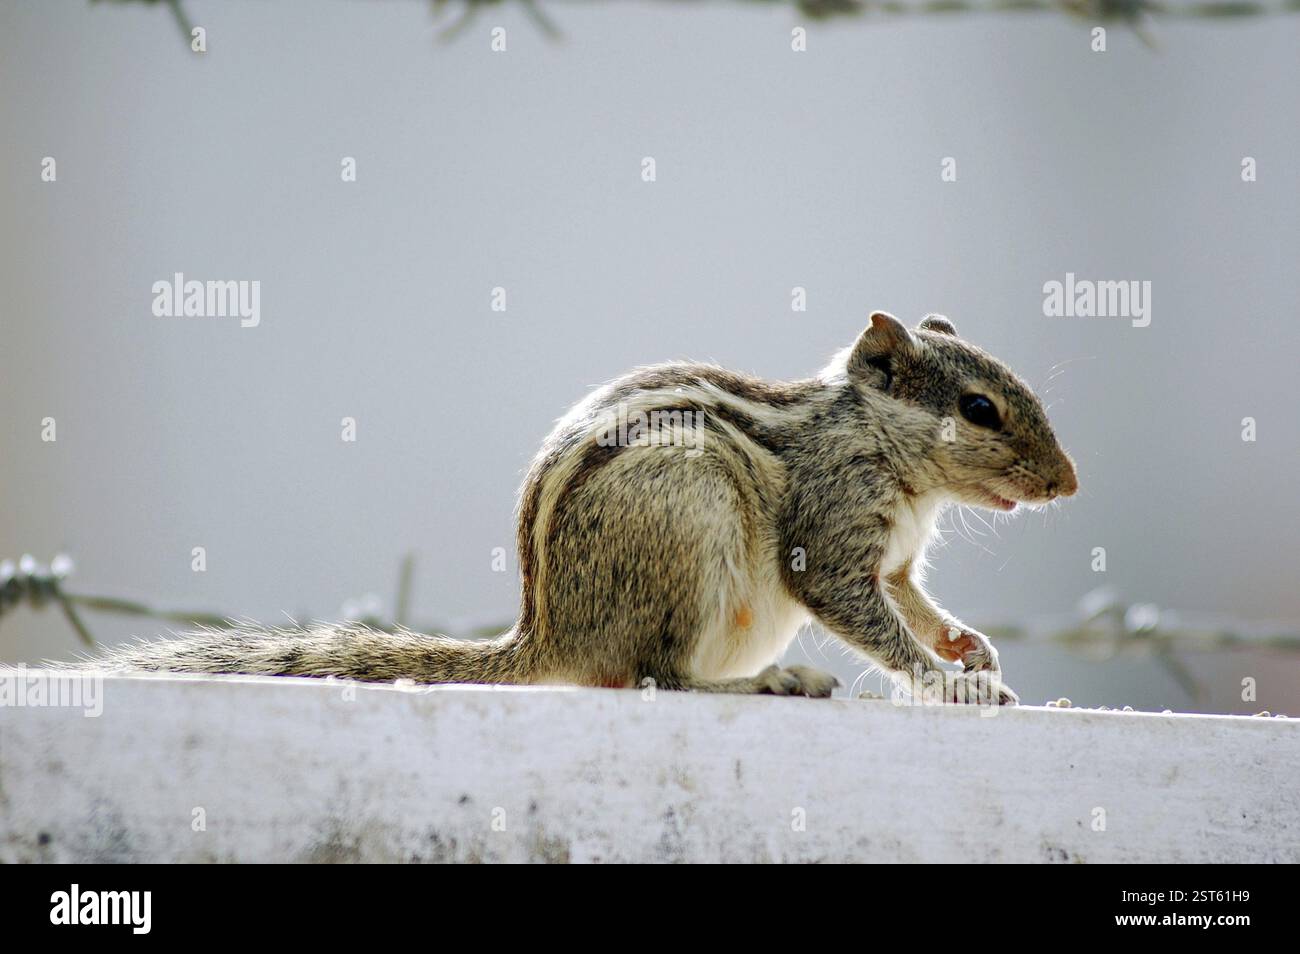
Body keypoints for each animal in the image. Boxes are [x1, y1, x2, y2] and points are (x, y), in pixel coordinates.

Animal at [80, 312, 1076, 704]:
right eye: (979, 409)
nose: (1067, 485)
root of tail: (548, 635)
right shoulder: (831, 537)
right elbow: (866, 615)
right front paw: (953, 682)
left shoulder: (895, 556)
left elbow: (909, 598)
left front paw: (967, 647)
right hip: (689, 522)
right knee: (658, 677)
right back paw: (766, 681)